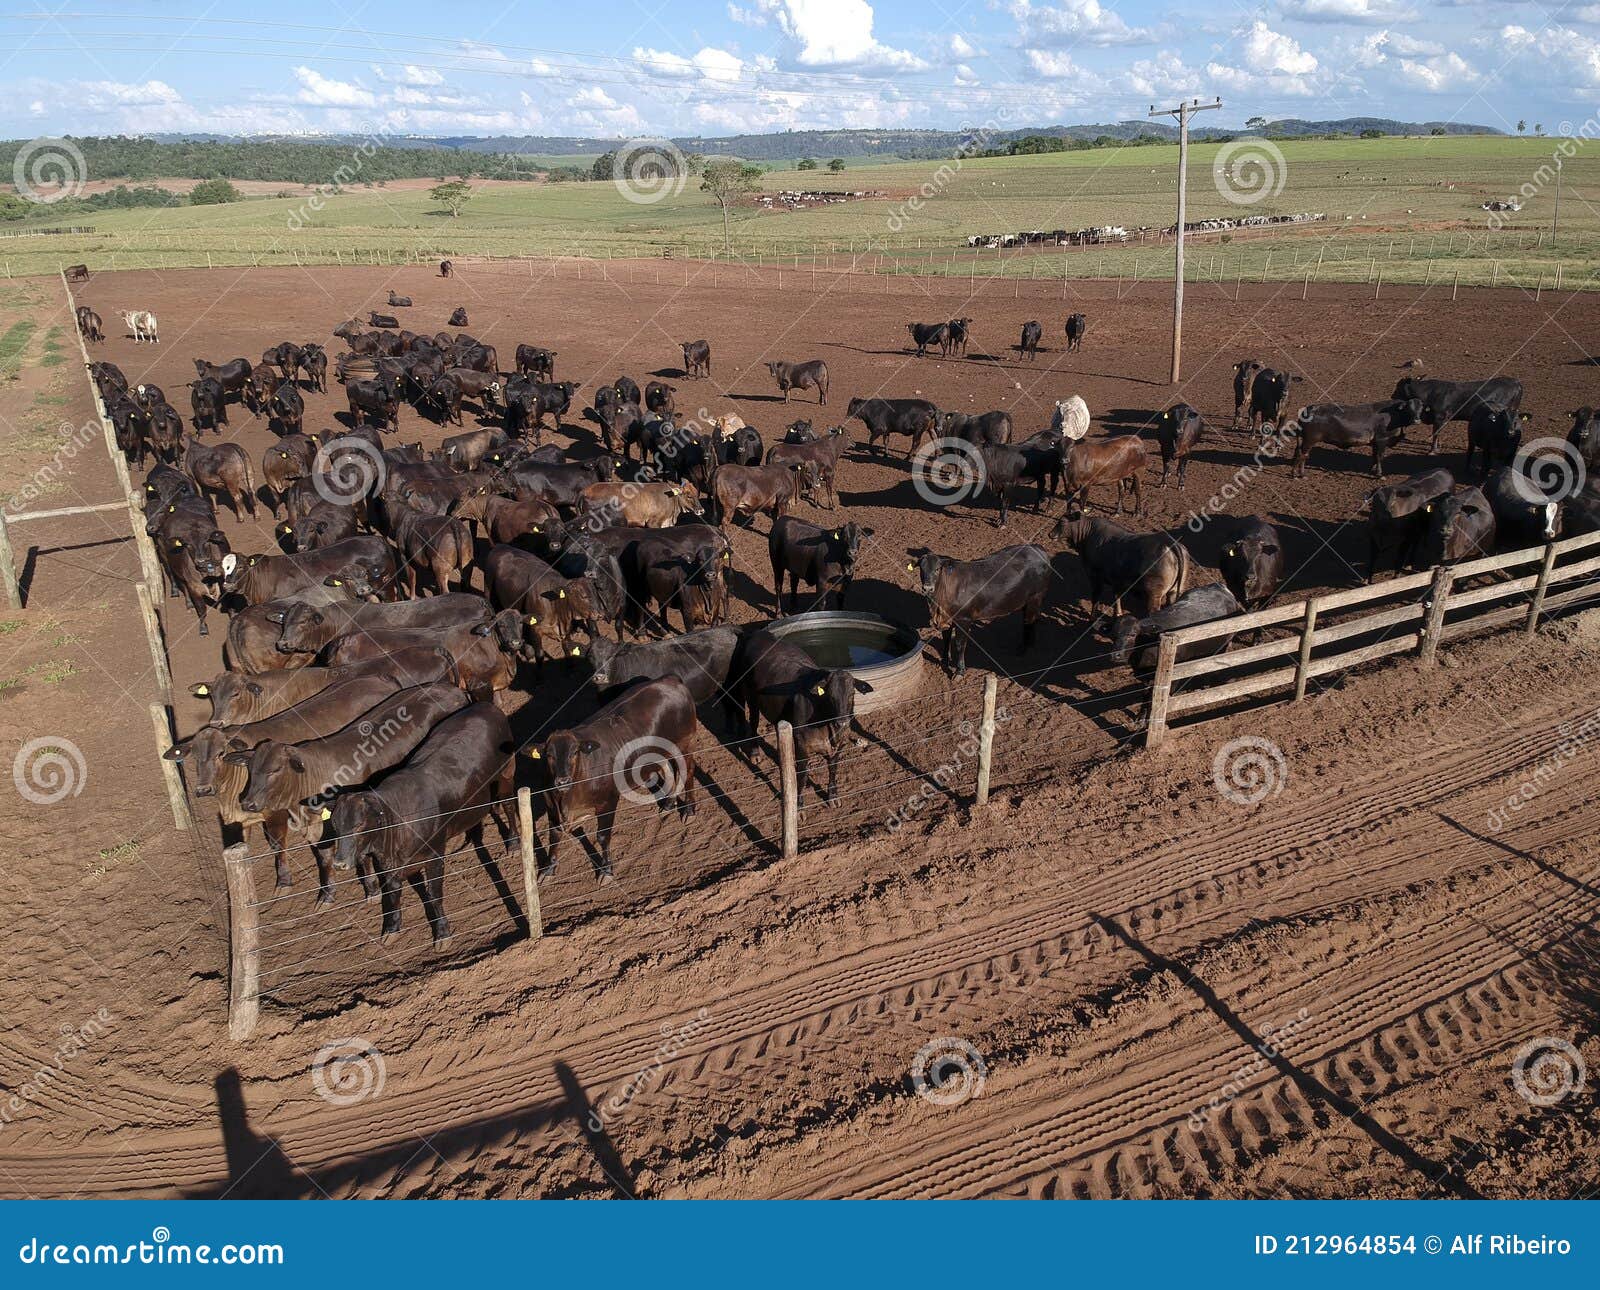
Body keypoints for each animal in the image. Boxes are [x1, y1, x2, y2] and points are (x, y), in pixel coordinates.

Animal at [330, 703, 518, 944]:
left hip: (506, 773)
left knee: (509, 804)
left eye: (360, 825)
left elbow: (434, 894)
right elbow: (393, 894)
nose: (339, 863)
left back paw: (513, 843)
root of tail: (485, 706)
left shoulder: (434, 856)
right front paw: (392, 929)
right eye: (335, 826)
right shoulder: (389, 865)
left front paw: (442, 933)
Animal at [731, 630, 867, 802]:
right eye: (830, 696)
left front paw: (832, 795)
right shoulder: (802, 747)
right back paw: (755, 753)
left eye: (851, 694)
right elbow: (801, 776)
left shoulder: (839, 746)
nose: (842, 722)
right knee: (753, 722)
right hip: (750, 697)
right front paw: (799, 802)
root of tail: (755, 633)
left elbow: (833, 768)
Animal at [1053, 517, 1189, 622]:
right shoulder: (1117, 581)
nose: (1050, 534)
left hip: (1154, 595)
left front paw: (1092, 619)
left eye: (1062, 521)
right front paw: (1117, 615)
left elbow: (1096, 597)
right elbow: (1117, 597)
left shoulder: (1095, 578)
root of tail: (1170, 542)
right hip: (1174, 591)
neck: (1088, 535)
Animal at [1291, 399, 1421, 478]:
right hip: (1310, 440)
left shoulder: (1375, 443)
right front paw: (1379, 474)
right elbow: (1380, 457)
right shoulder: (1382, 440)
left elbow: (1374, 457)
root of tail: (1310, 409)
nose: (1417, 420)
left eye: (1421, 408)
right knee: (1302, 455)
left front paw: (1372, 470)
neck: (1393, 414)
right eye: (1409, 408)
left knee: (1299, 453)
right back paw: (1301, 474)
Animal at [1393, 376, 1525, 454]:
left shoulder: (1440, 417)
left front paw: (1432, 450)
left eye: (1399, 387)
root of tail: (1516, 382)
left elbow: (1435, 433)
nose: (1392, 396)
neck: (1430, 392)